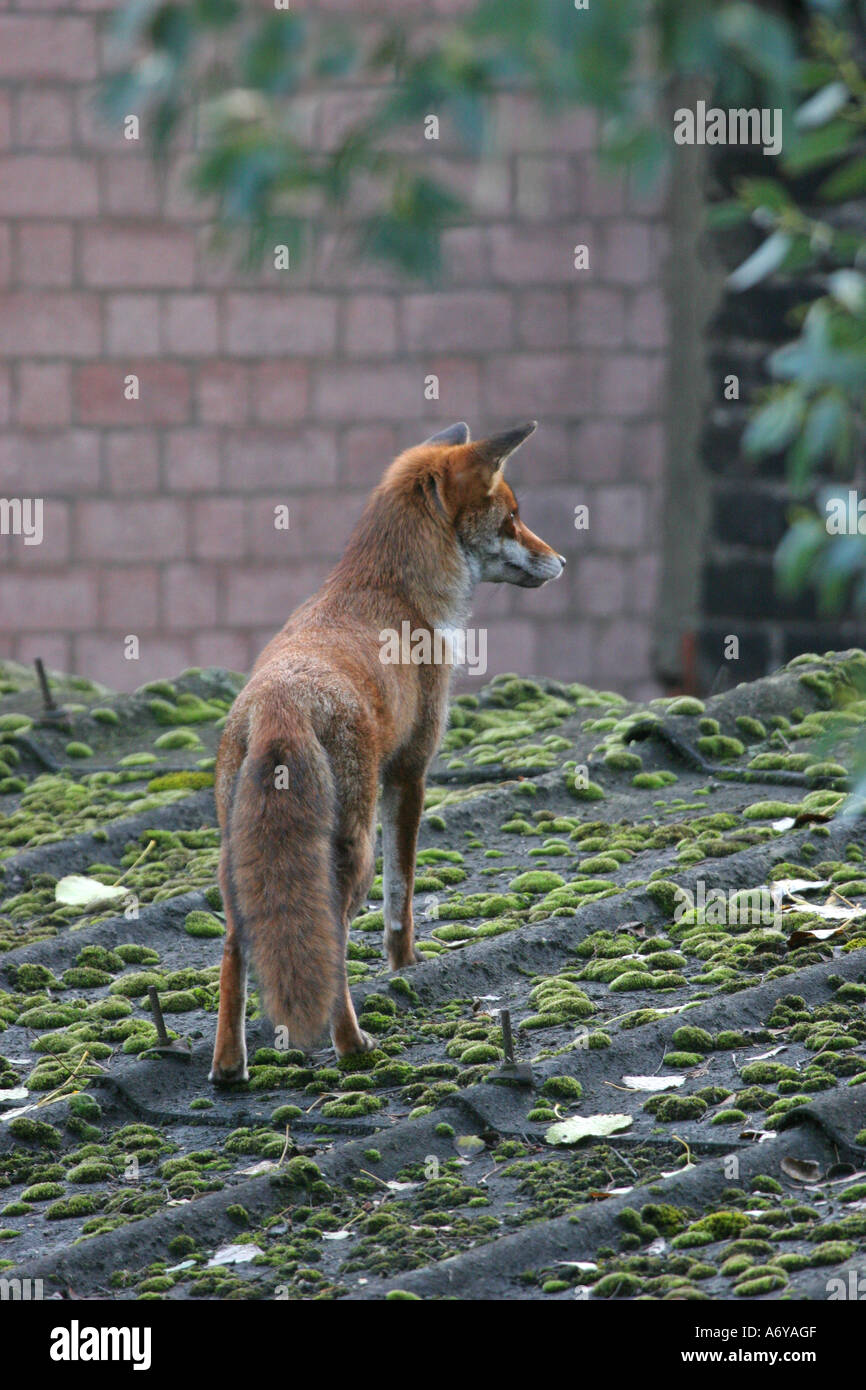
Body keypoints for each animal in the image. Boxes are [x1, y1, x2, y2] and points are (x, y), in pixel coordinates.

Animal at [209, 419, 565, 1082]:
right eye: (512, 517)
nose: (560, 560)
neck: (394, 592)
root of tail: (280, 703)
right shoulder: (410, 771)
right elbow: (401, 898)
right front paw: (407, 966)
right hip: (351, 849)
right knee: (331, 944)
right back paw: (351, 1045)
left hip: (236, 857)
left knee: (234, 949)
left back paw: (227, 1067)